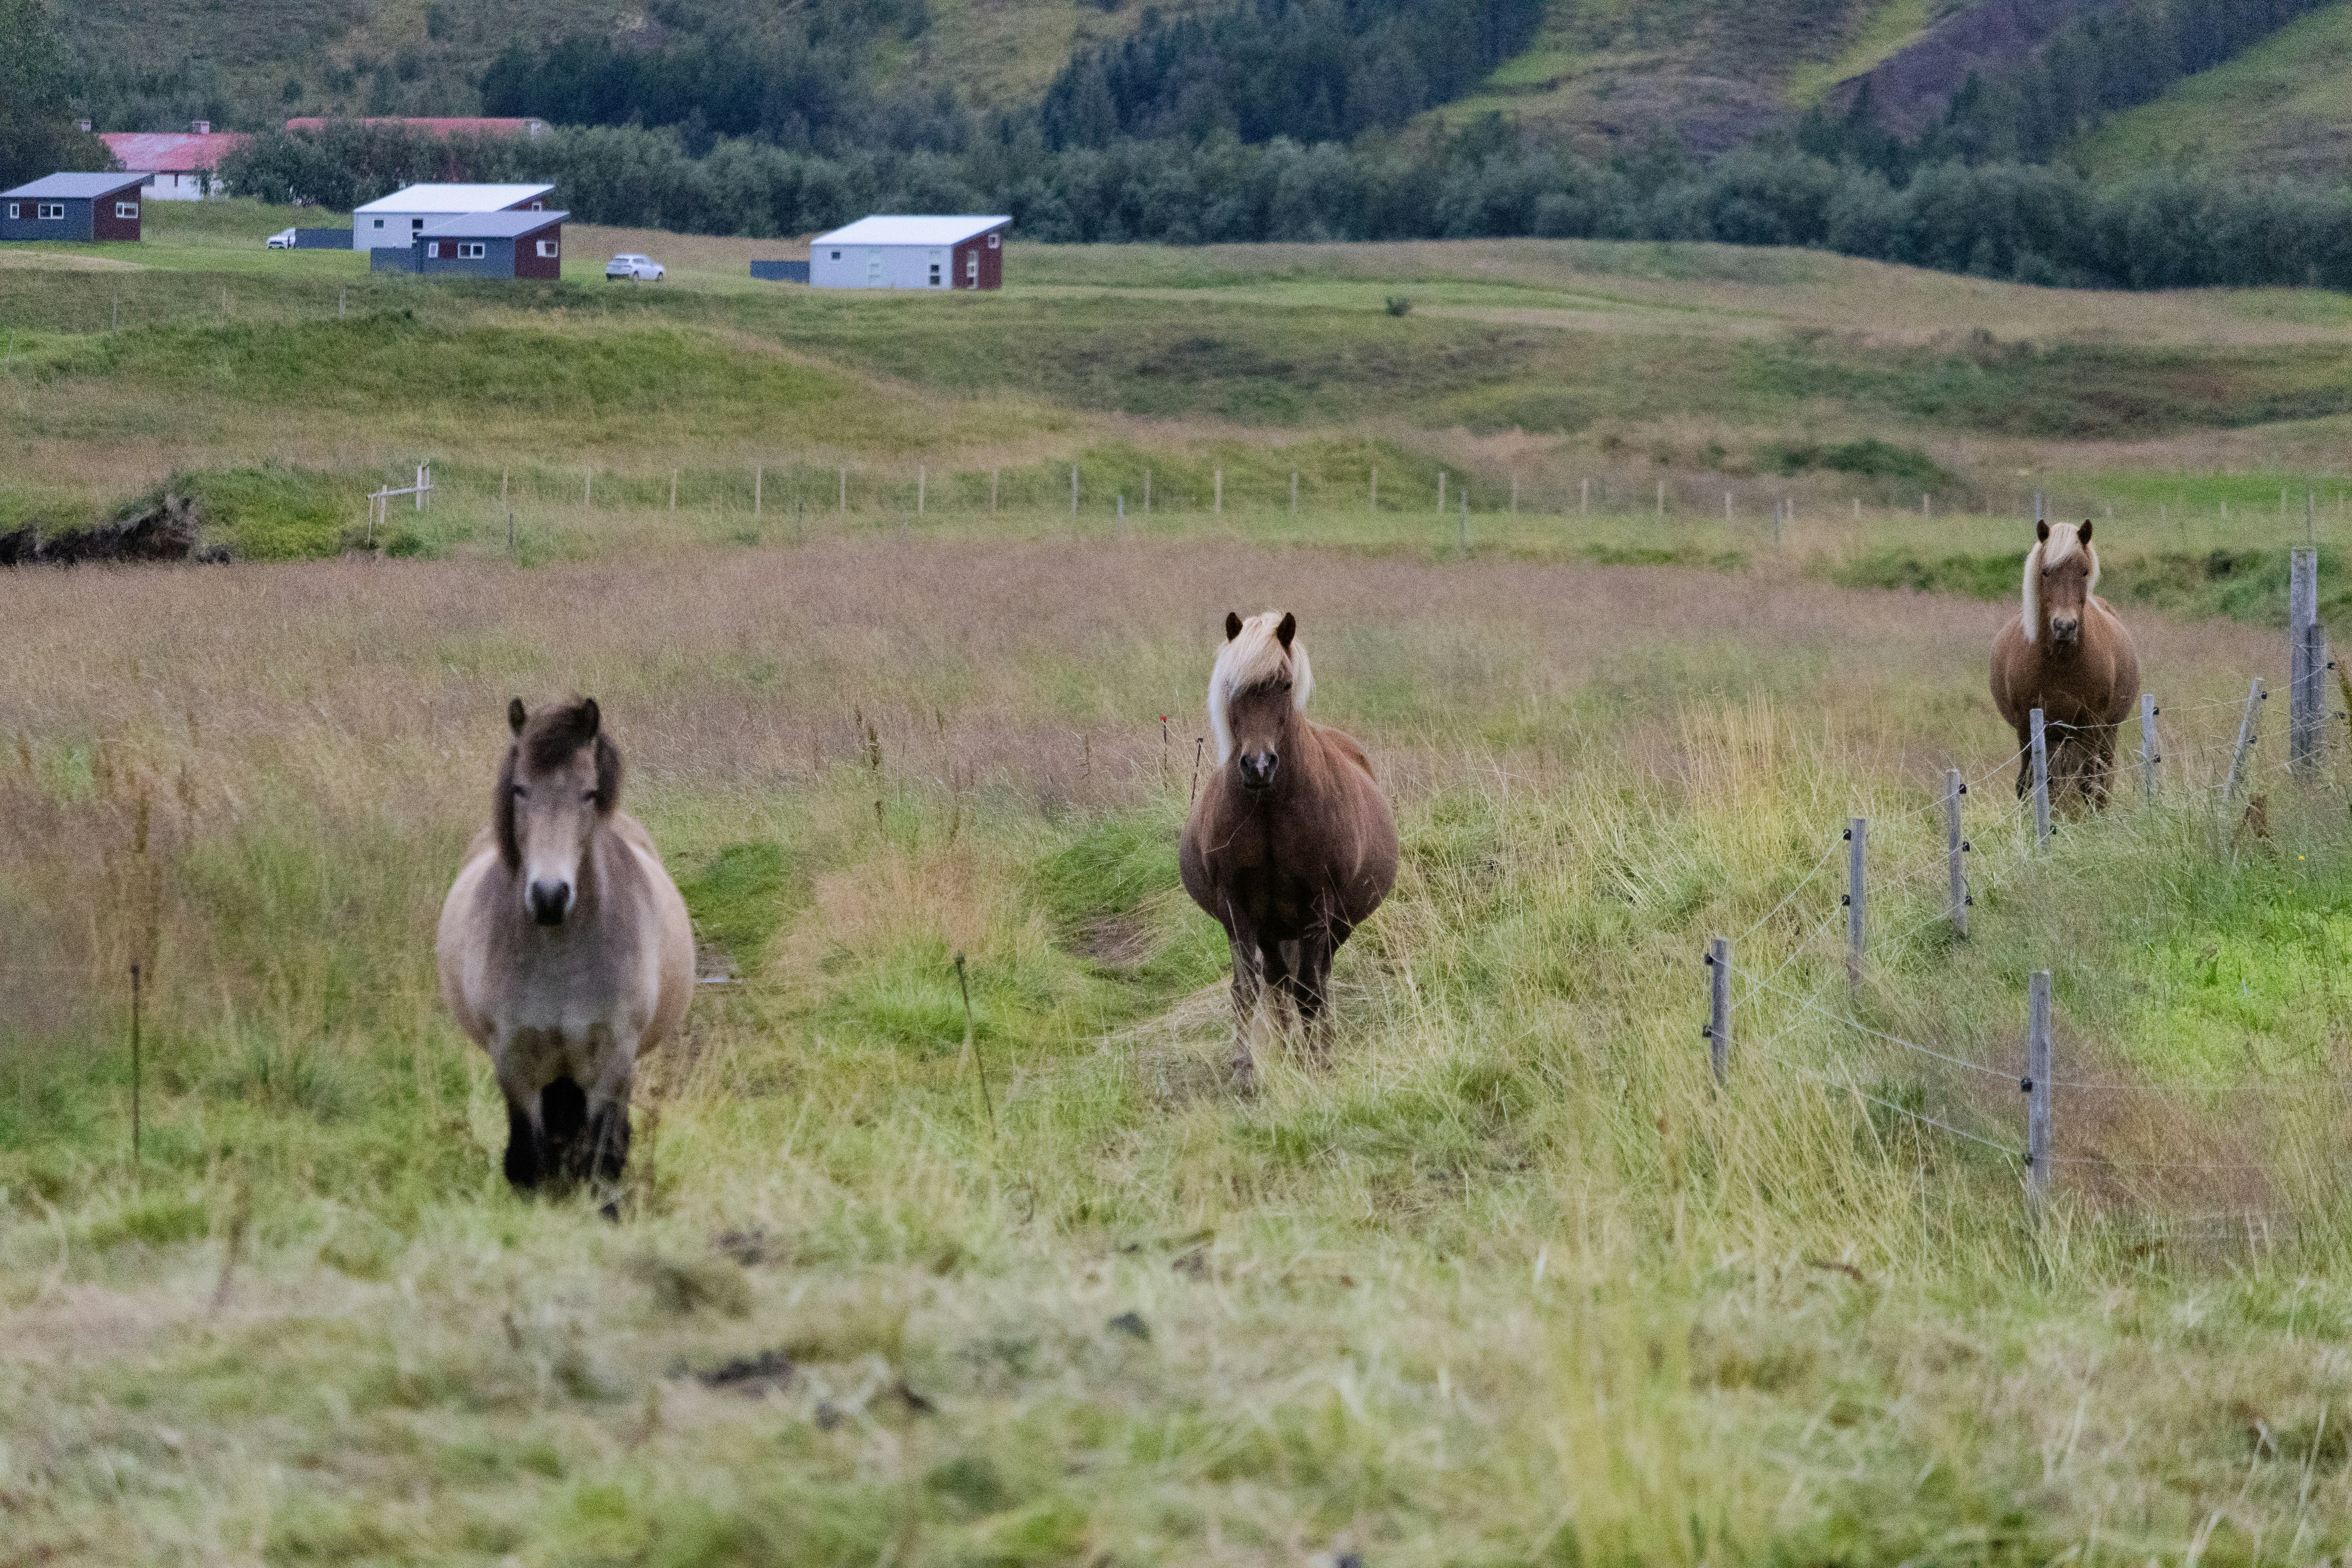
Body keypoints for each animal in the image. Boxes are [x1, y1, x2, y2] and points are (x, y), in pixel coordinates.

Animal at [437, 698, 694, 1207]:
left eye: (589, 794)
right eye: (520, 789)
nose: (549, 896)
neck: (560, 955)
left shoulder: (614, 1059)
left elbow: (602, 1156)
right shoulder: (514, 1062)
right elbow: (529, 1158)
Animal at [1179, 611, 1398, 1087]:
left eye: (1283, 685)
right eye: (1231, 686)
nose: (1258, 766)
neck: (1269, 808)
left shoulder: (1318, 906)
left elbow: (1310, 990)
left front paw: (1316, 1062)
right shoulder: (1237, 909)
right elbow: (1247, 990)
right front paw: (1246, 1068)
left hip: (1336, 923)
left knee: (1313, 982)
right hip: (1271, 926)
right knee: (1278, 983)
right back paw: (1286, 1046)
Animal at [1991, 520, 2142, 809]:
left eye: (2084, 572)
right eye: (2046, 572)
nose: (2064, 627)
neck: (2061, 661)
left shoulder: (2092, 725)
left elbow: (2091, 784)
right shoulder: (2028, 727)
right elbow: (2029, 783)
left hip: (2107, 733)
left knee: (2103, 779)